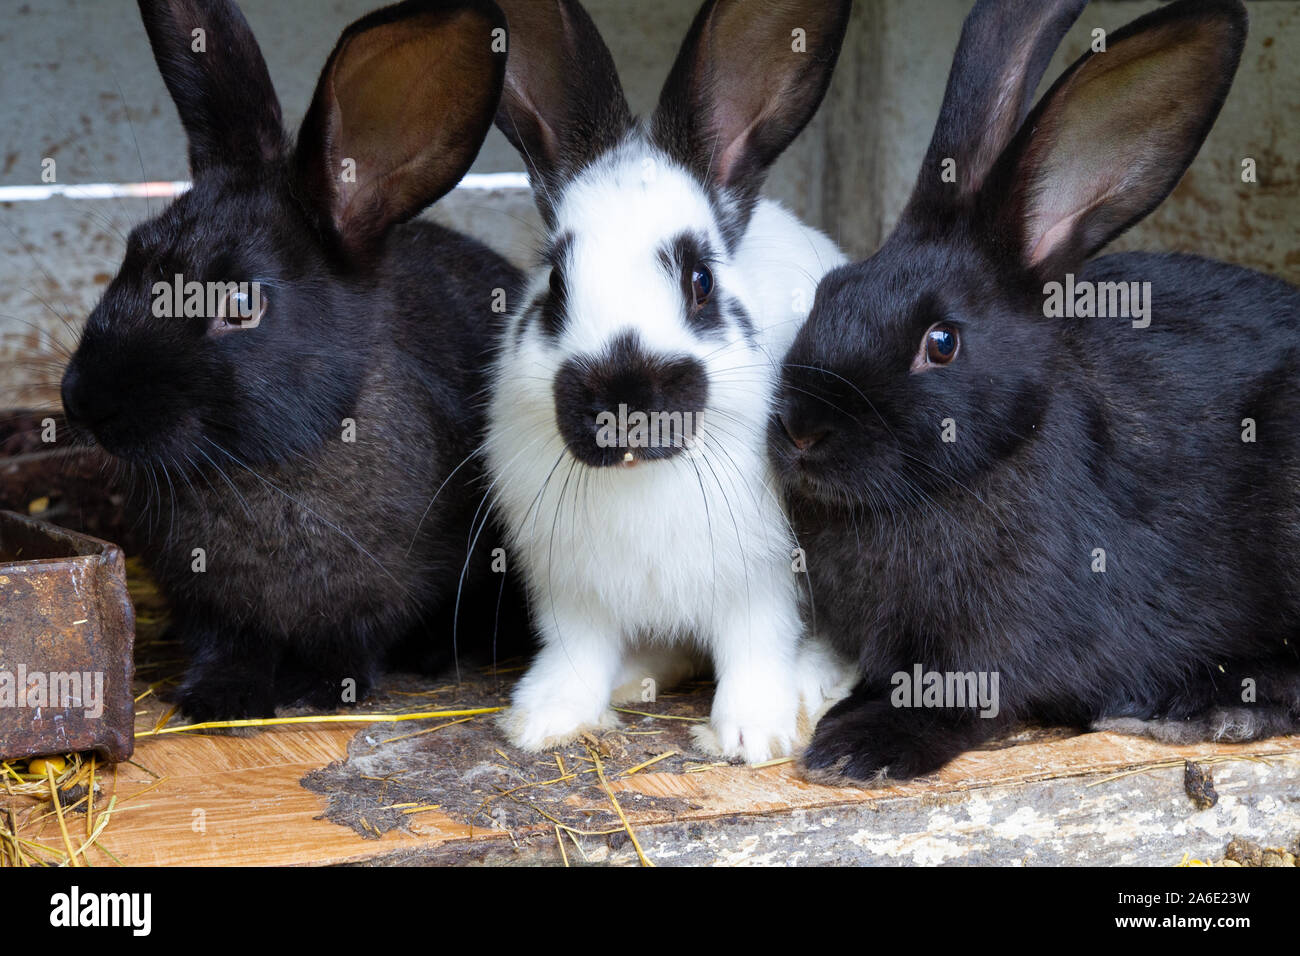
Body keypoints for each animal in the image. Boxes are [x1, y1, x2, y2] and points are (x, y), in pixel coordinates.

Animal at [58, 0, 524, 722]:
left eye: (240, 303)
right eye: (131, 254)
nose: (82, 399)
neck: (263, 467)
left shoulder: (385, 595)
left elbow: (353, 641)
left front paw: (325, 691)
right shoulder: (208, 606)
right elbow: (230, 646)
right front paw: (218, 699)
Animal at [482, 0, 855, 762]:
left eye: (700, 281)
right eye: (556, 284)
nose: (623, 400)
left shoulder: (761, 583)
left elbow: (756, 649)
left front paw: (751, 737)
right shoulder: (572, 592)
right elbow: (576, 653)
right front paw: (544, 721)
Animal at [771, 0, 1300, 782]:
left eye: (942, 342)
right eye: (829, 292)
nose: (801, 428)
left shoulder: (996, 643)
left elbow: (960, 697)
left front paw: (855, 751)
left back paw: (1204, 708)